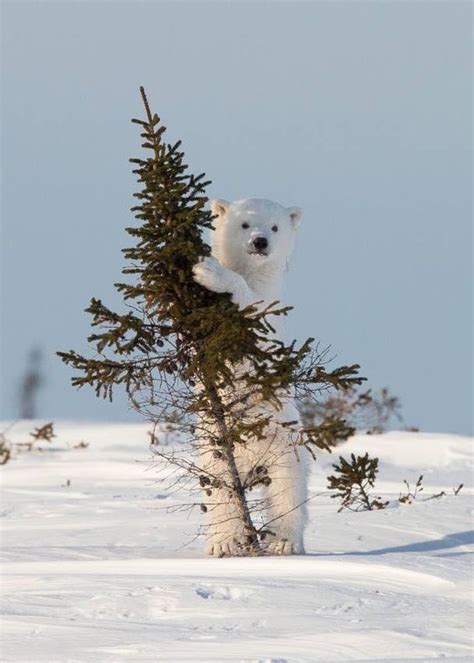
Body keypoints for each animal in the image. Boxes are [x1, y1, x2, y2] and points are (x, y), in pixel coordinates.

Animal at [192, 197, 308, 556]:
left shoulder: (271, 314)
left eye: (275, 227)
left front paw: (209, 271)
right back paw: (223, 542)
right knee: (218, 491)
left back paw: (283, 541)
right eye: (244, 224)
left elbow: (255, 316)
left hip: (285, 446)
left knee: (287, 493)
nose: (260, 242)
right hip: (212, 450)